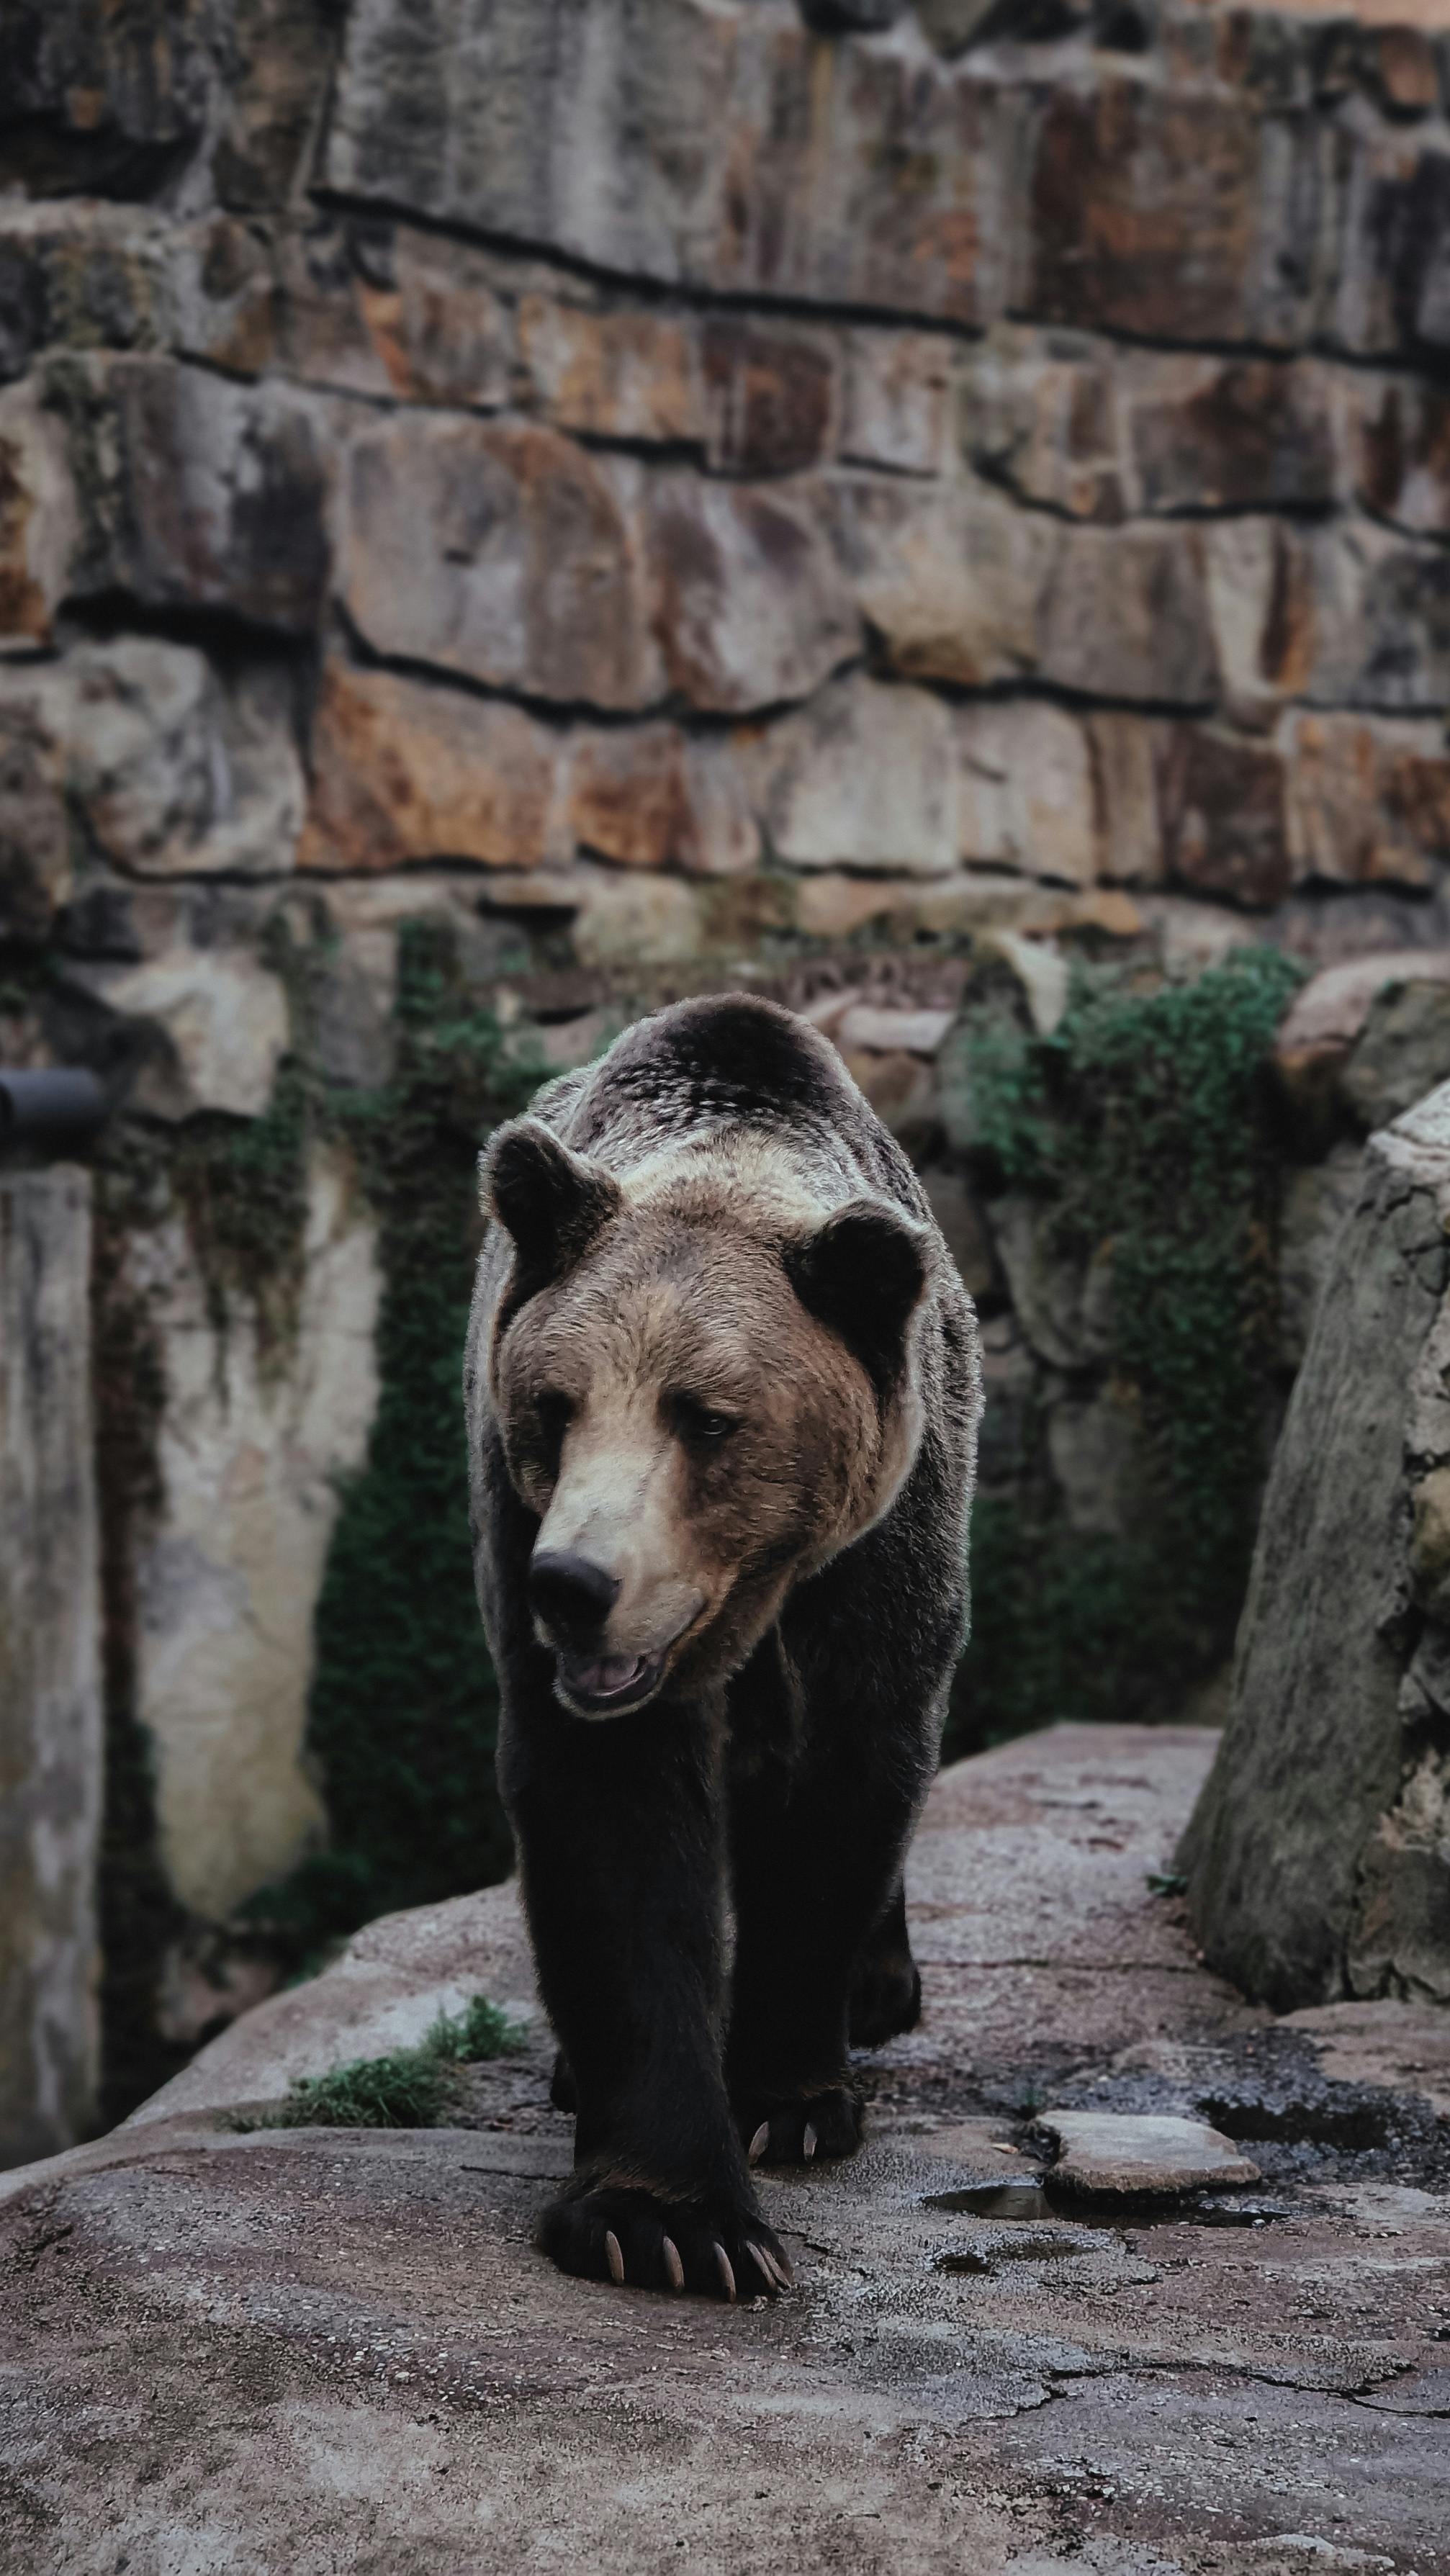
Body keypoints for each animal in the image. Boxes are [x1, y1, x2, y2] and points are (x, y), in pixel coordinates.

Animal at [464, 993, 981, 2300]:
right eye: (553, 1404)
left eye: (705, 1417)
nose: (573, 1586)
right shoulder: (522, 1531)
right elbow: (613, 1823)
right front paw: (671, 2221)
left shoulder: (872, 1561)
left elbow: (842, 1784)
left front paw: (786, 2096)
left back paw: (879, 1987)